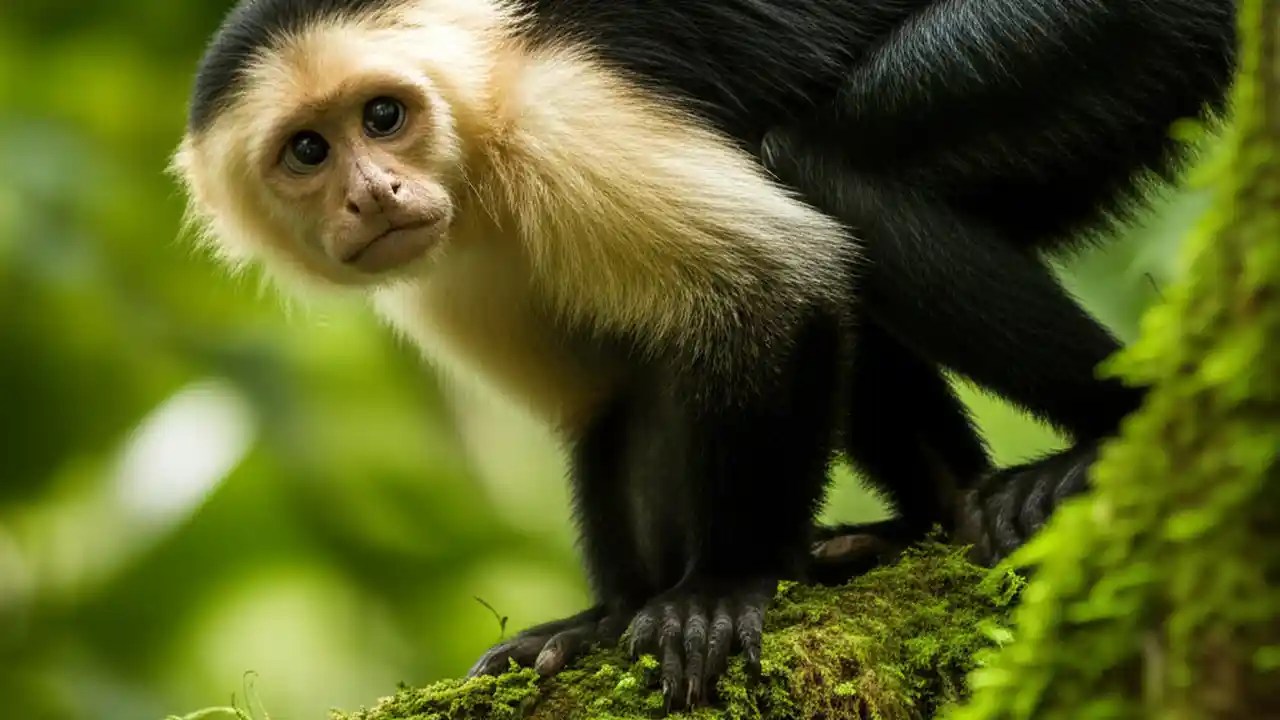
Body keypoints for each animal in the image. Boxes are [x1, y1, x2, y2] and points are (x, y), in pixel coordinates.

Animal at [173, 0, 1237, 712]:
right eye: (309, 151)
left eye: (384, 118)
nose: (376, 193)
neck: (482, 139)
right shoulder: (448, 270)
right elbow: (619, 399)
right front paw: (604, 620)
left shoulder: (565, 117)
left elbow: (777, 285)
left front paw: (719, 589)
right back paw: (916, 524)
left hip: (1107, 27)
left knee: (830, 176)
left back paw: (1108, 443)